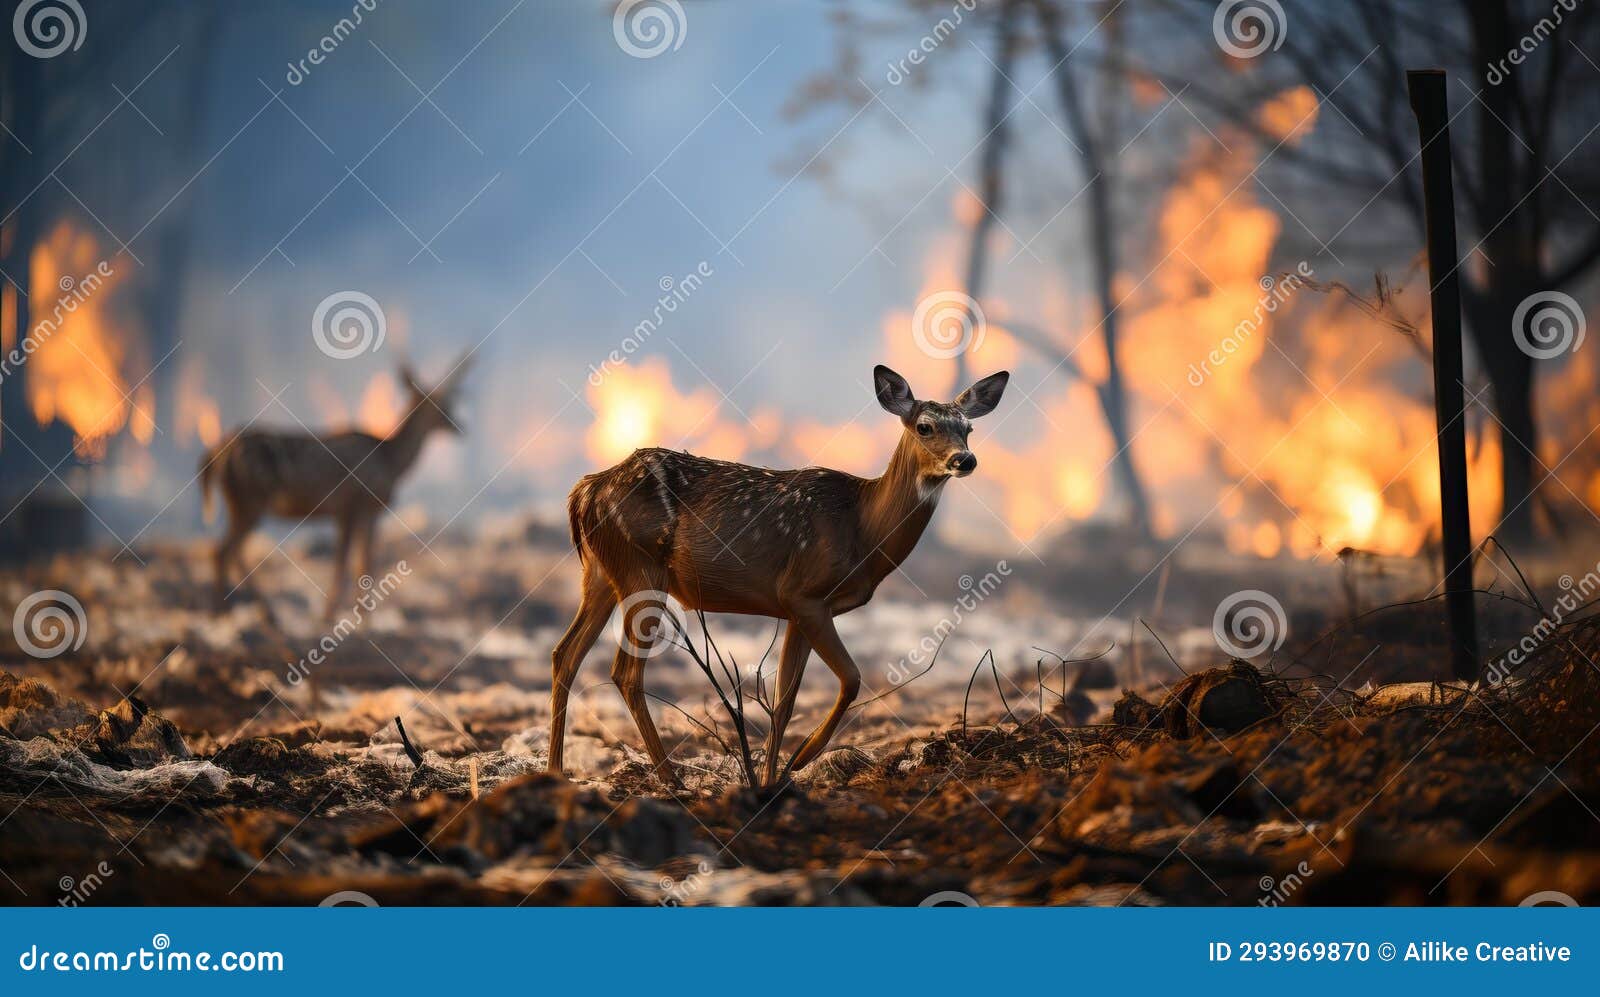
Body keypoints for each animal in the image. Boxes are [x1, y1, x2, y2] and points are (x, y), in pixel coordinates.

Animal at [199, 356, 468, 622]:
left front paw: (361, 620)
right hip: (249, 499)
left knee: (229, 551)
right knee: (222, 551)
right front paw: (332, 617)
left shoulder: (367, 512)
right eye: (441, 404)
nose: (459, 425)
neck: (391, 462)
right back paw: (225, 613)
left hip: (240, 502)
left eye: (448, 403)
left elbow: (364, 564)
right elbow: (345, 565)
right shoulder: (350, 505)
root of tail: (218, 451)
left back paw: (259, 612)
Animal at [549, 364, 1009, 789]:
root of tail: (584, 491)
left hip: (601, 574)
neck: (862, 528)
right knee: (624, 671)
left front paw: (773, 778)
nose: (964, 459)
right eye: (925, 426)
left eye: (968, 428)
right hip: (641, 569)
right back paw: (671, 778)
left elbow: (784, 698)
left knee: (565, 654)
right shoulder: (805, 594)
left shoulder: (795, 608)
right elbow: (851, 678)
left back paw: (556, 769)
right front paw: (802, 758)